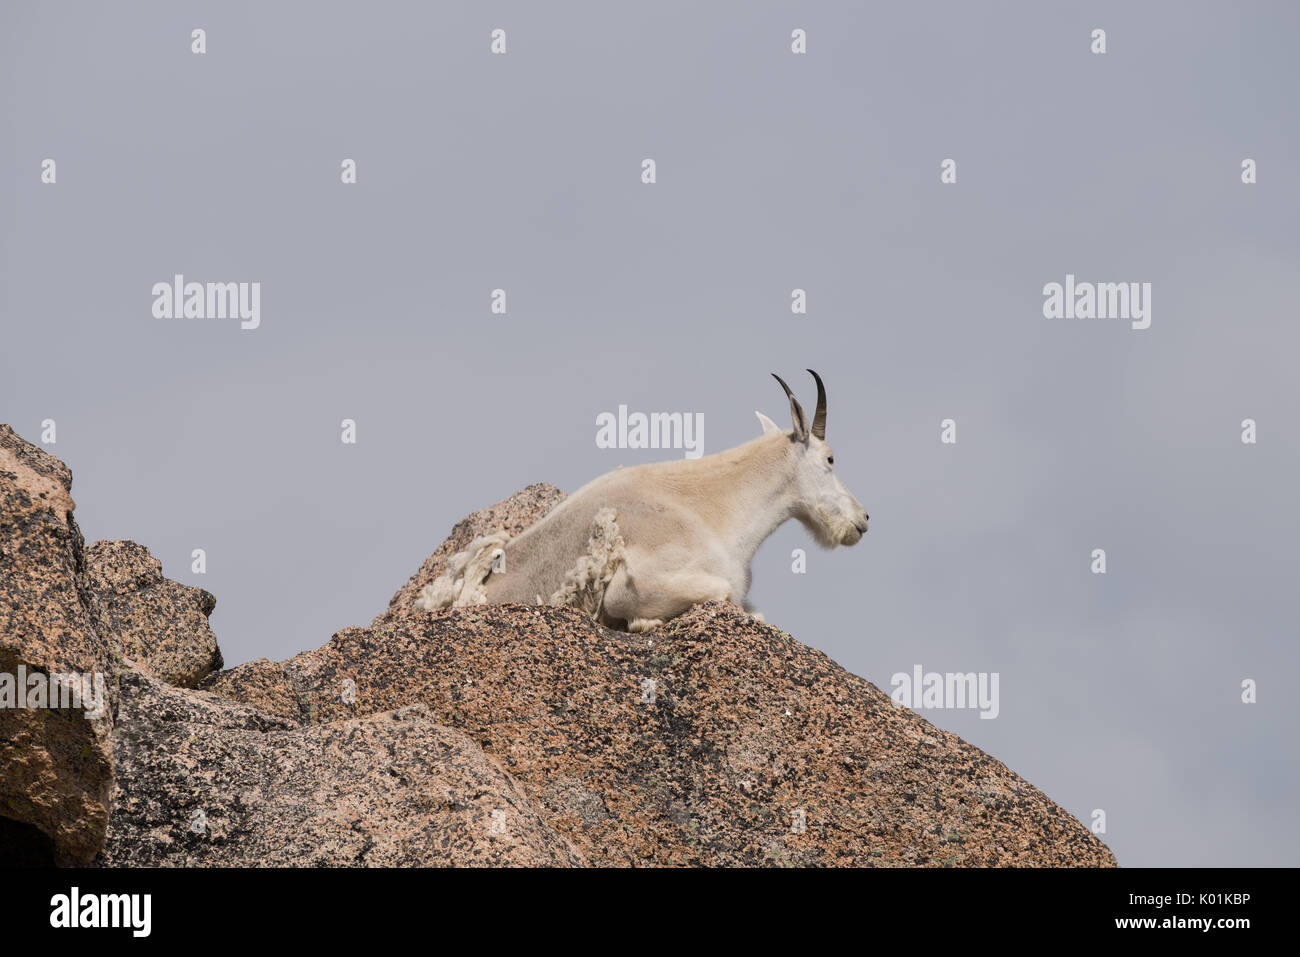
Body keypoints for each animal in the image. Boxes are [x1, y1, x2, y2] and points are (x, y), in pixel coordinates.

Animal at [416, 371, 870, 631]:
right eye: (831, 459)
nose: (863, 519)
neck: (712, 509)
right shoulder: (636, 581)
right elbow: (723, 592)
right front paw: (642, 622)